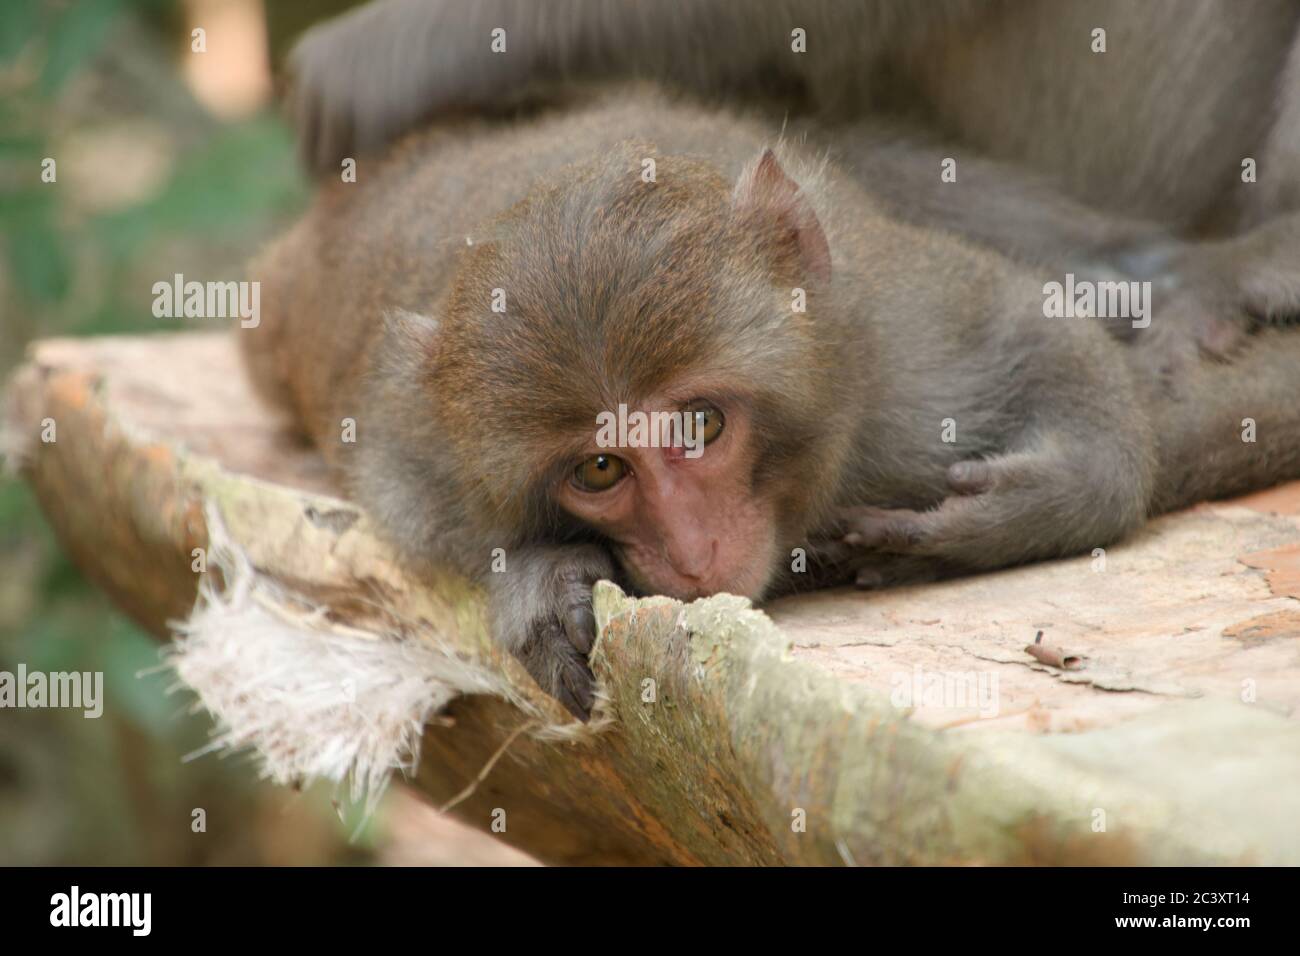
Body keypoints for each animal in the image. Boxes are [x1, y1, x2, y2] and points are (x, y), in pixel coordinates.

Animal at [242, 87, 1300, 719]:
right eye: (600, 468)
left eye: (700, 425)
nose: (694, 551)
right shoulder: (422, 445)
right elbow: (409, 501)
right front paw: (544, 575)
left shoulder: (901, 352)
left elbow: (1037, 332)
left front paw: (1014, 510)